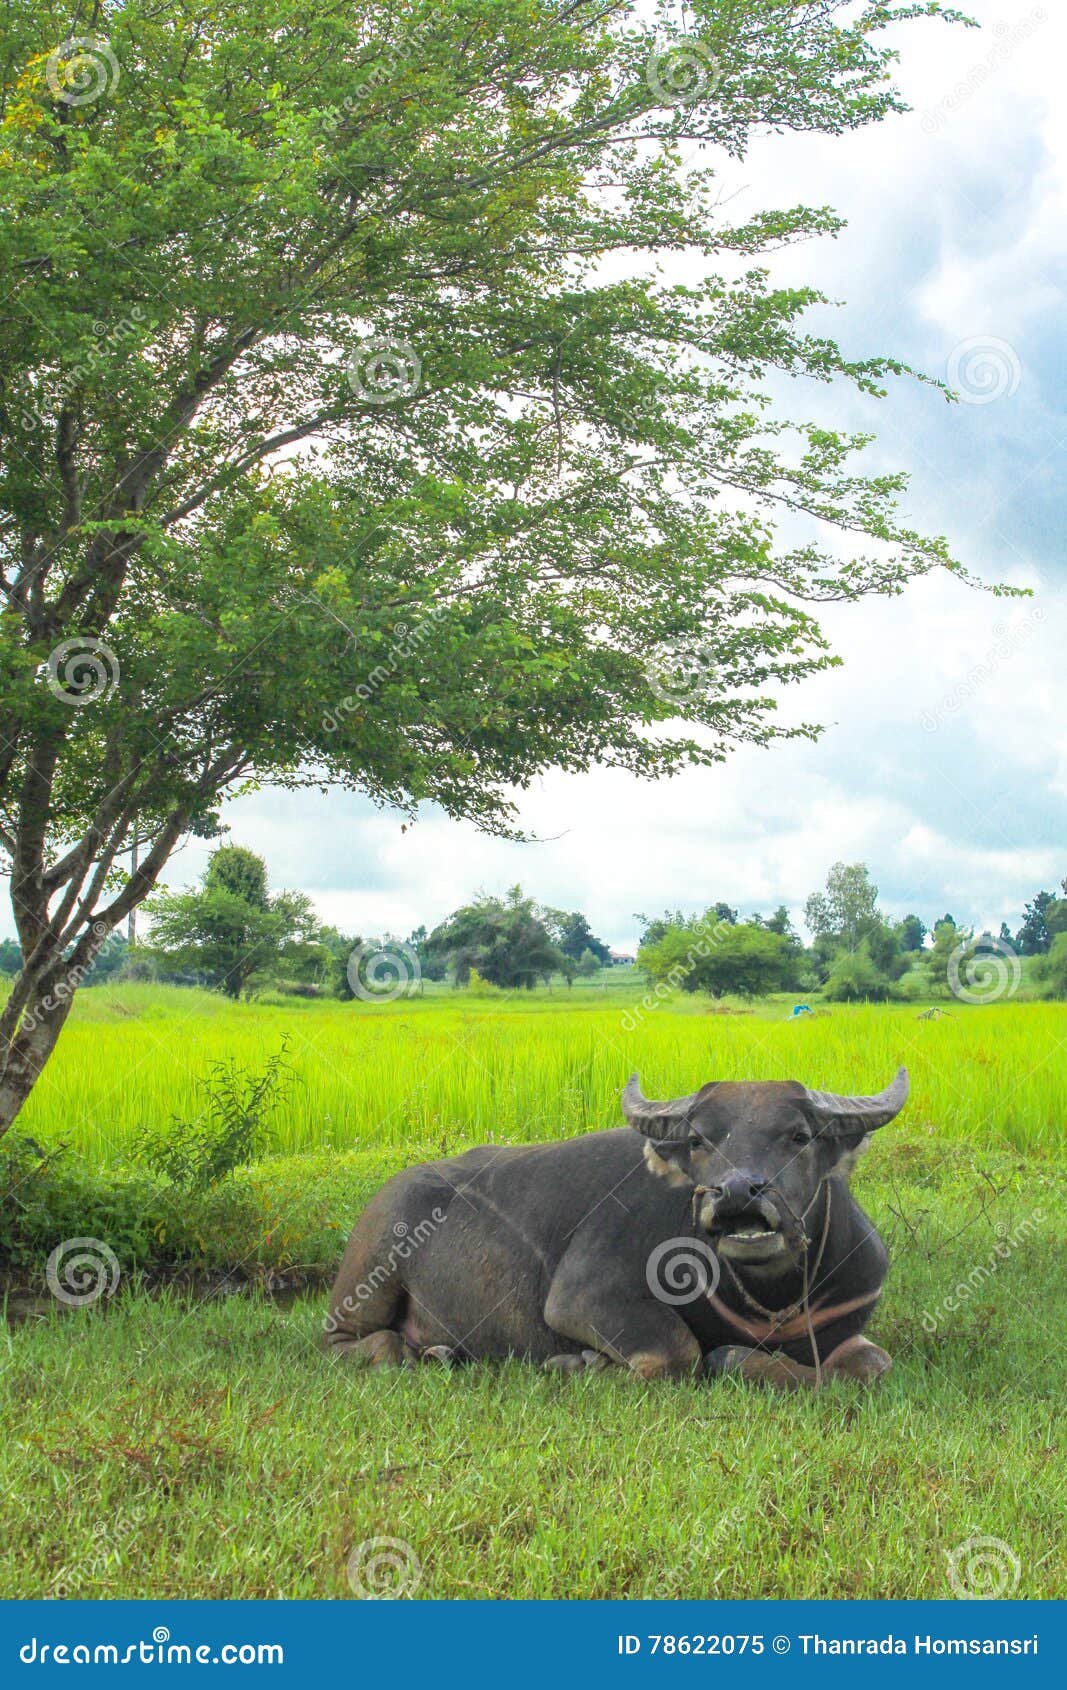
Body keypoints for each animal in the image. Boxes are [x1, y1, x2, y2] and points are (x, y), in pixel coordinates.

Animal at [324, 1067, 909, 1388]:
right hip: (367, 1276)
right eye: (698, 1139)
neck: (768, 1294)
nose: (738, 1191)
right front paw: (578, 1363)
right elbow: (681, 1352)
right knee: (346, 1343)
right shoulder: (582, 1298)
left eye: (798, 1135)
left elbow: (874, 1362)